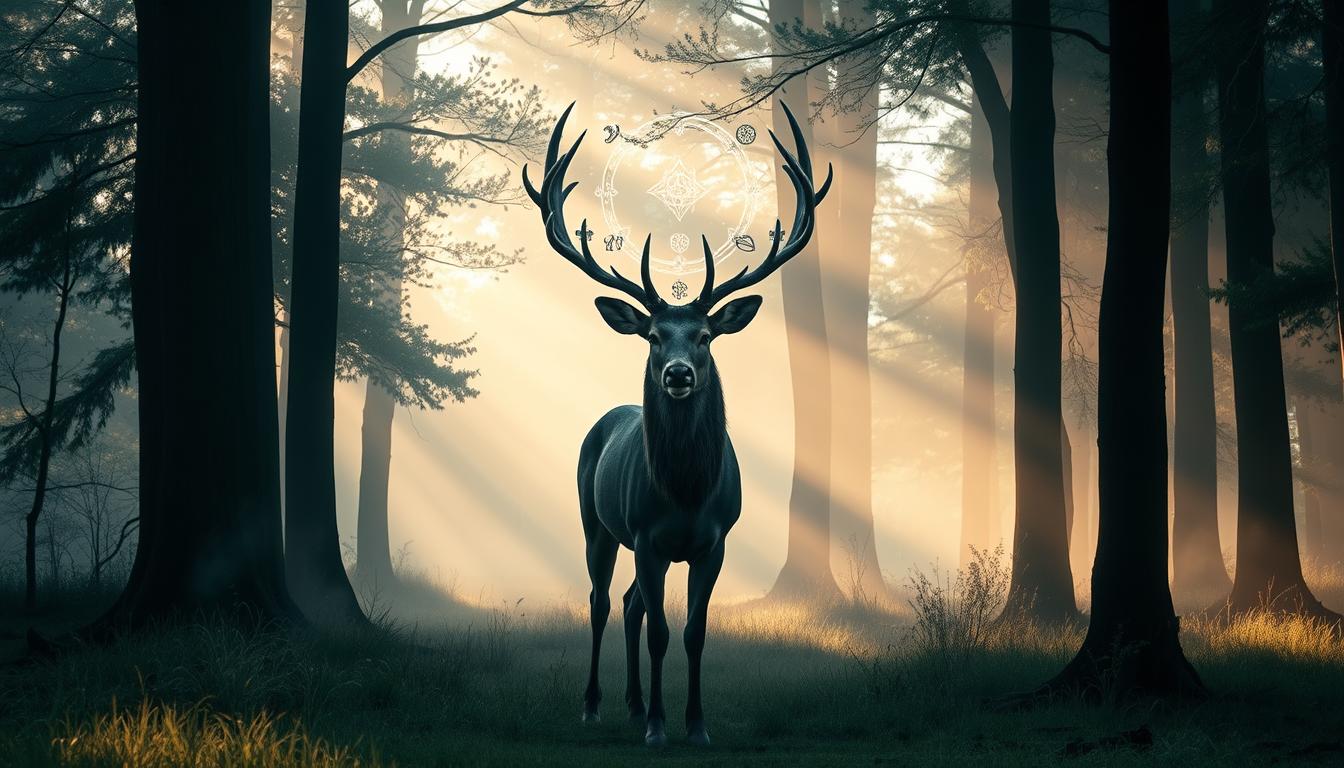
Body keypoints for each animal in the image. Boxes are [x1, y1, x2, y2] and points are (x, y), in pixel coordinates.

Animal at [522, 102, 830, 747]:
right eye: (654, 336)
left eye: (707, 335)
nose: (679, 374)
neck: (686, 493)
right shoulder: (646, 535)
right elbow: (662, 631)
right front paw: (660, 728)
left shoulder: (714, 541)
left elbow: (693, 633)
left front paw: (695, 724)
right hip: (594, 520)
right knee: (602, 599)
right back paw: (595, 705)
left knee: (632, 604)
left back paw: (635, 703)